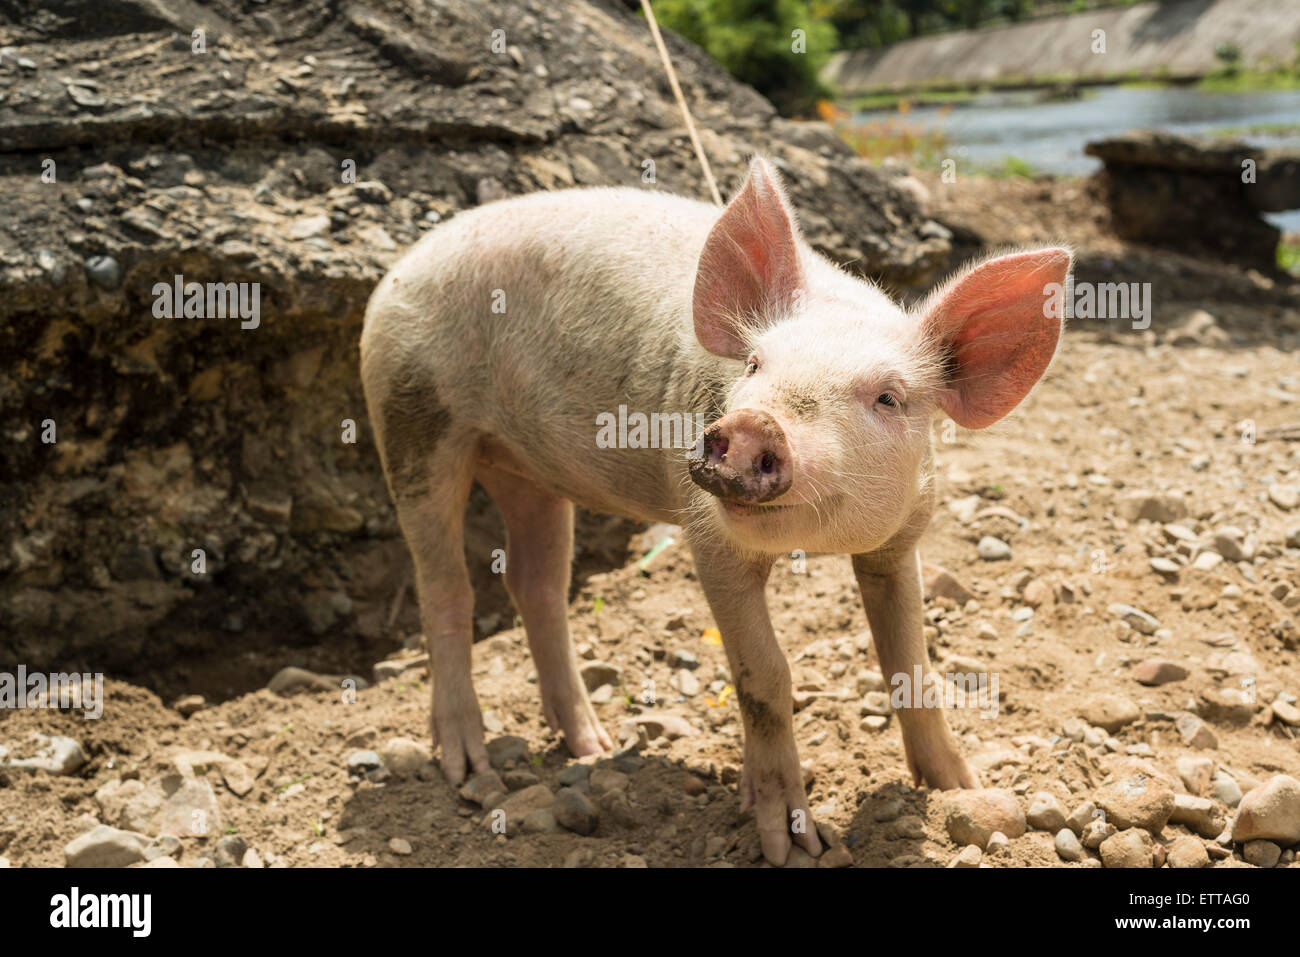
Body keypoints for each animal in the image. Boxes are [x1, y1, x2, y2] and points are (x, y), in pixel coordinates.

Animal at [360, 156, 1070, 864]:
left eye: (888, 398)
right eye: (754, 365)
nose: (754, 422)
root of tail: (407, 260)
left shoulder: (900, 541)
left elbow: (910, 662)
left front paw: (960, 786)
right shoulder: (711, 542)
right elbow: (765, 677)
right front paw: (792, 843)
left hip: (527, 472)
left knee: (538, 583)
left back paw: (592, 744)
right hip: (410, 415)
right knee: (445, 587)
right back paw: (466, 764)